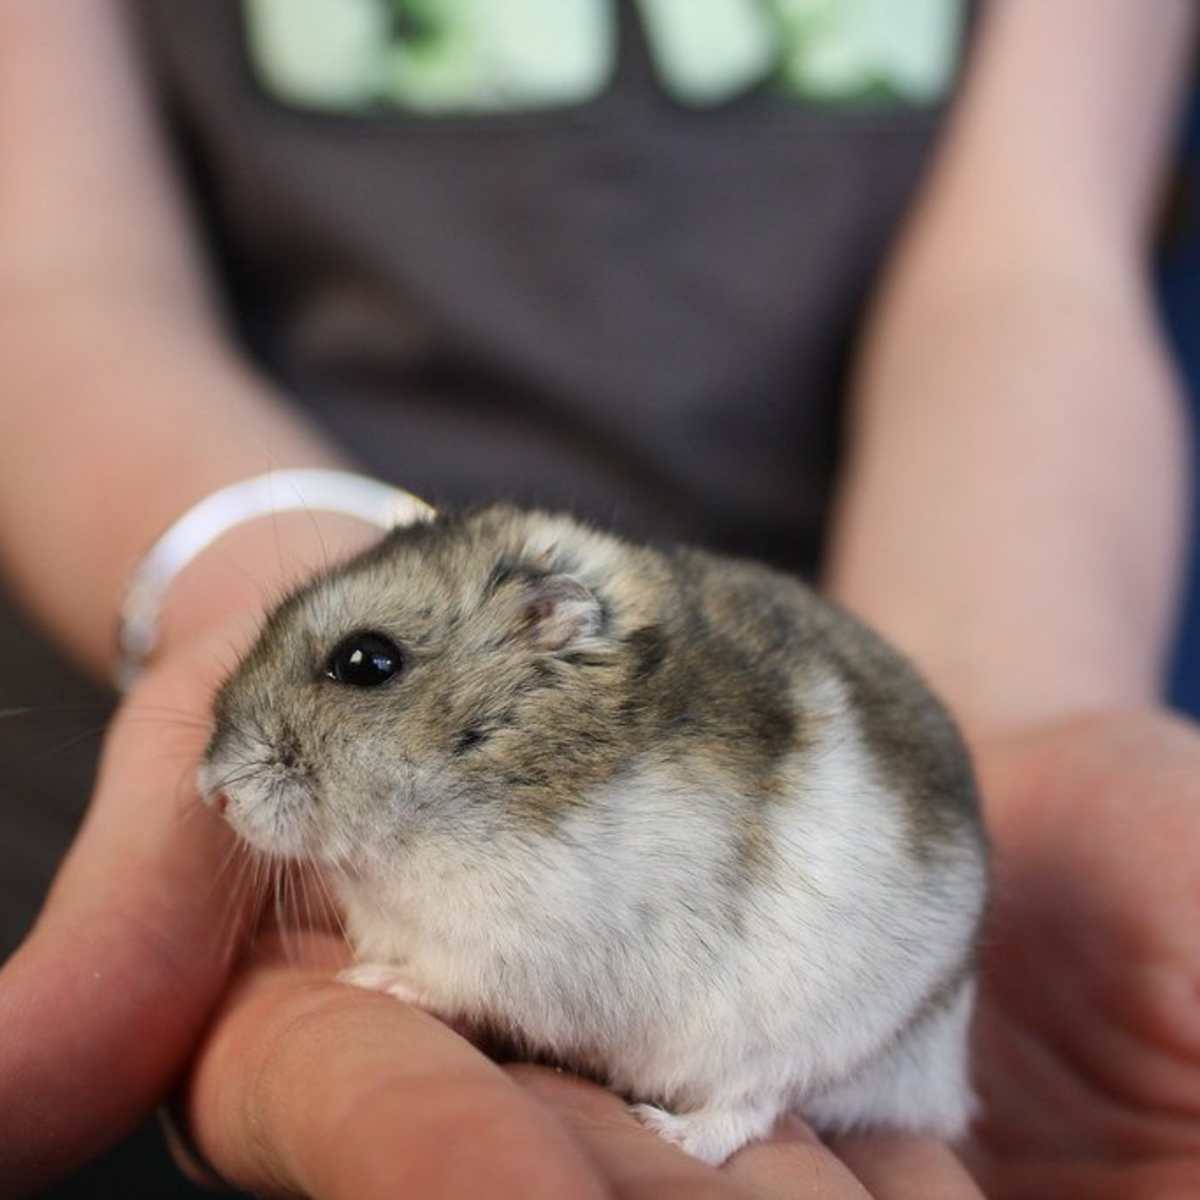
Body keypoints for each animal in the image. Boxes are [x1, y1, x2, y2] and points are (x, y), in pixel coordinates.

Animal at [199, 505, 988, 1165]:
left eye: (366, 661)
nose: (213, 793)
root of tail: (943, 1064)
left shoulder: (518, 946)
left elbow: (448, 978)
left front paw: (373, 979)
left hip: (805, 1034)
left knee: (748, 1108)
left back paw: (666, 1131)